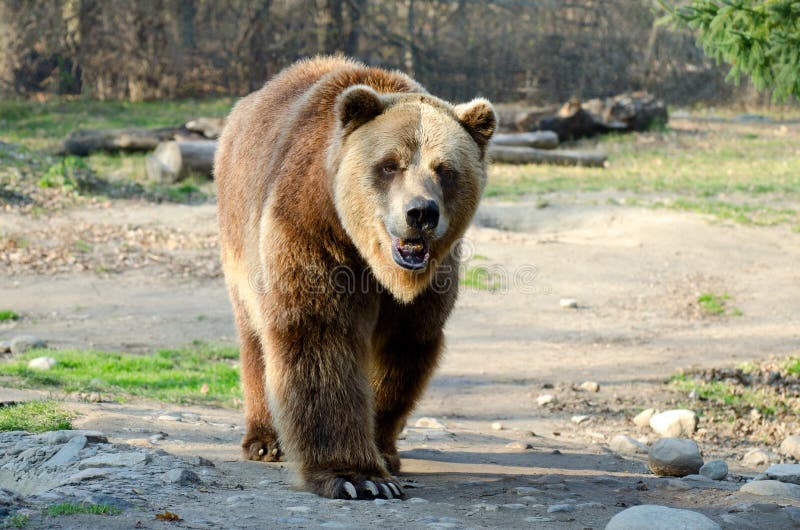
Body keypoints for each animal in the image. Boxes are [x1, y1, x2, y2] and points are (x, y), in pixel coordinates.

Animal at [214, 56, 496, 499]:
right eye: (390, 165)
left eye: (445, 169)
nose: (421, 213)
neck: (374, 260)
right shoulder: (313, 230)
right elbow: (320, 335)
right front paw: (357, 477)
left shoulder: (430, 283)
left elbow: (403, 349)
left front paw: (382, 452)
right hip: (240, 231)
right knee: (256, 335)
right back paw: (264, 440)